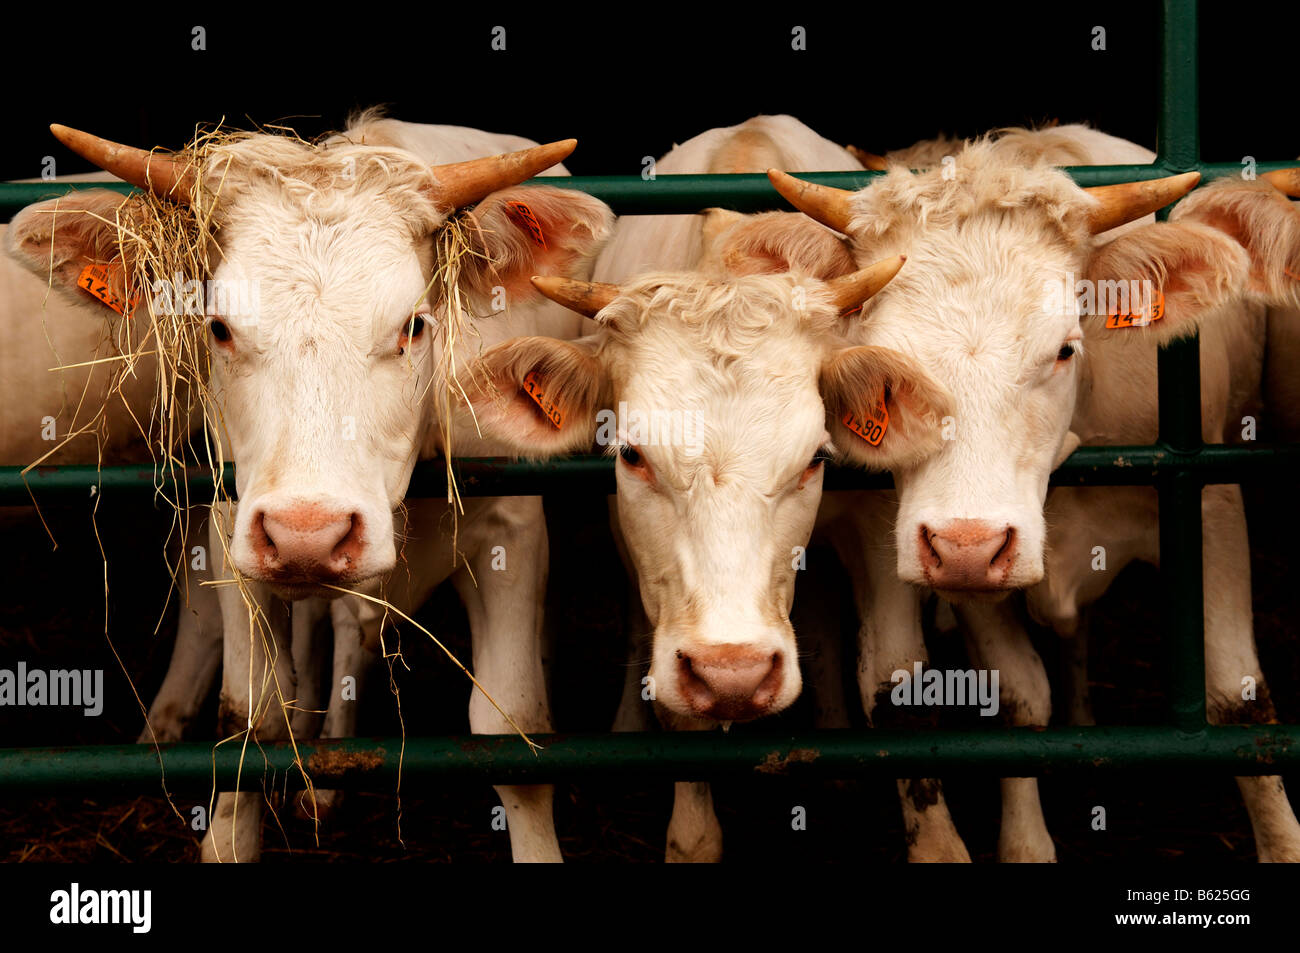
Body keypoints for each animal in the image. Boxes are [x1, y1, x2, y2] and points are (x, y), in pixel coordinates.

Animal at [5, 115, 614, 862]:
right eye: (219, 326)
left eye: (414, 325)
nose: (308, 534)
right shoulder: (236, 527)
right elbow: (248, 715)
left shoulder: (513, 534)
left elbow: (513, 728)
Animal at [769, 124, 1300, 861]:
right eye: (882, 364)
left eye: (1065, 348)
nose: (966, 546)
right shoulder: (970, 567)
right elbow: (1022, 698)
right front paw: (1027, 842)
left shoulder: (1212, 508)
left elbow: (1235, 697)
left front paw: (1282, 839)